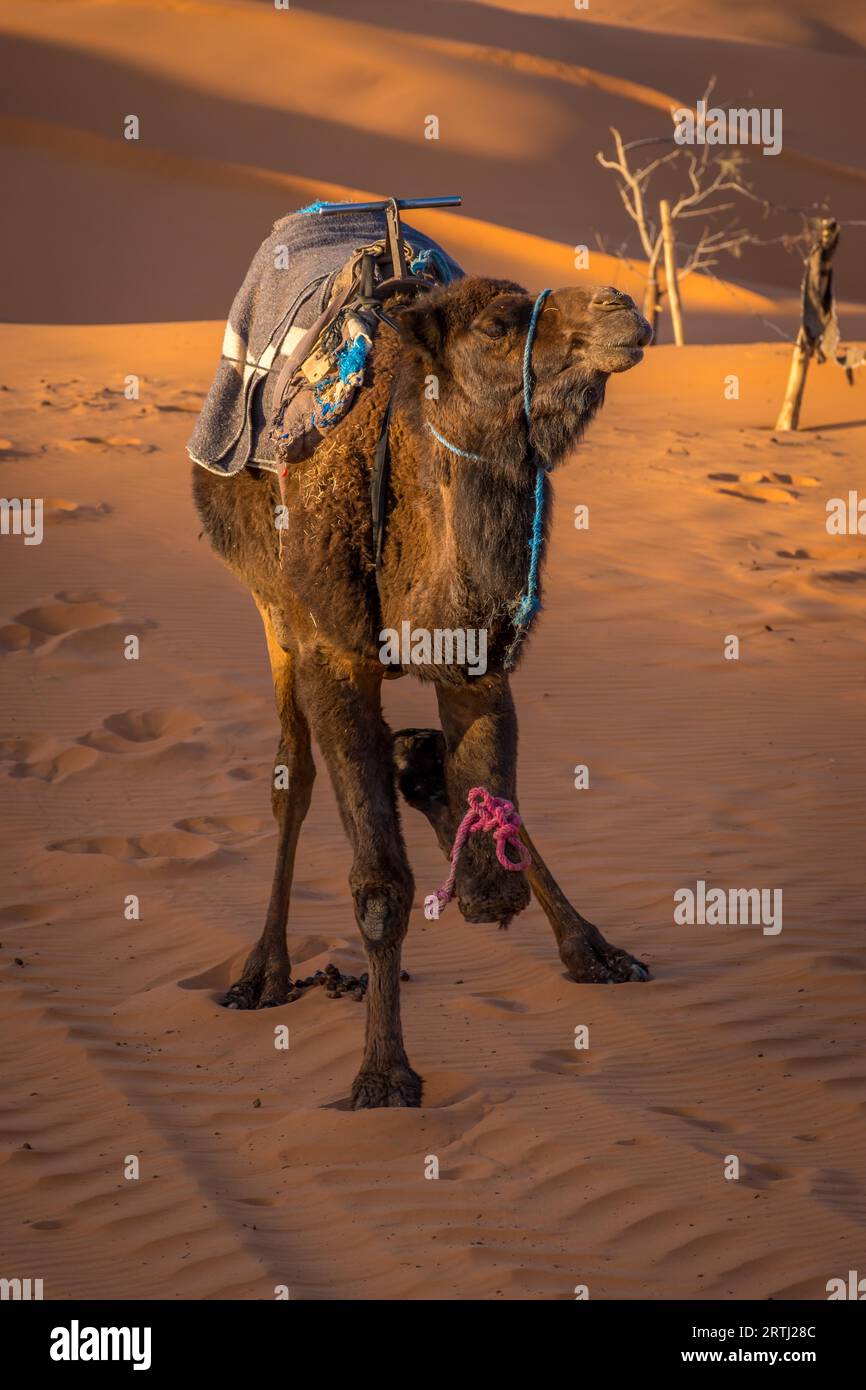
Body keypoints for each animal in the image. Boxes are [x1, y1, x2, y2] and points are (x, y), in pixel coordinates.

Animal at [192, 273, 652, 1109]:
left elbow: (498, 809)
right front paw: (382, 1075)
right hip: (271, 605)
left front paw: (583, 944)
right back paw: (262, 972)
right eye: (499, 325)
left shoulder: (478, 651)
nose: (622, 306)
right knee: (291, 773)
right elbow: (380, 884)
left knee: (422, 765)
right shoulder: (333, 655)